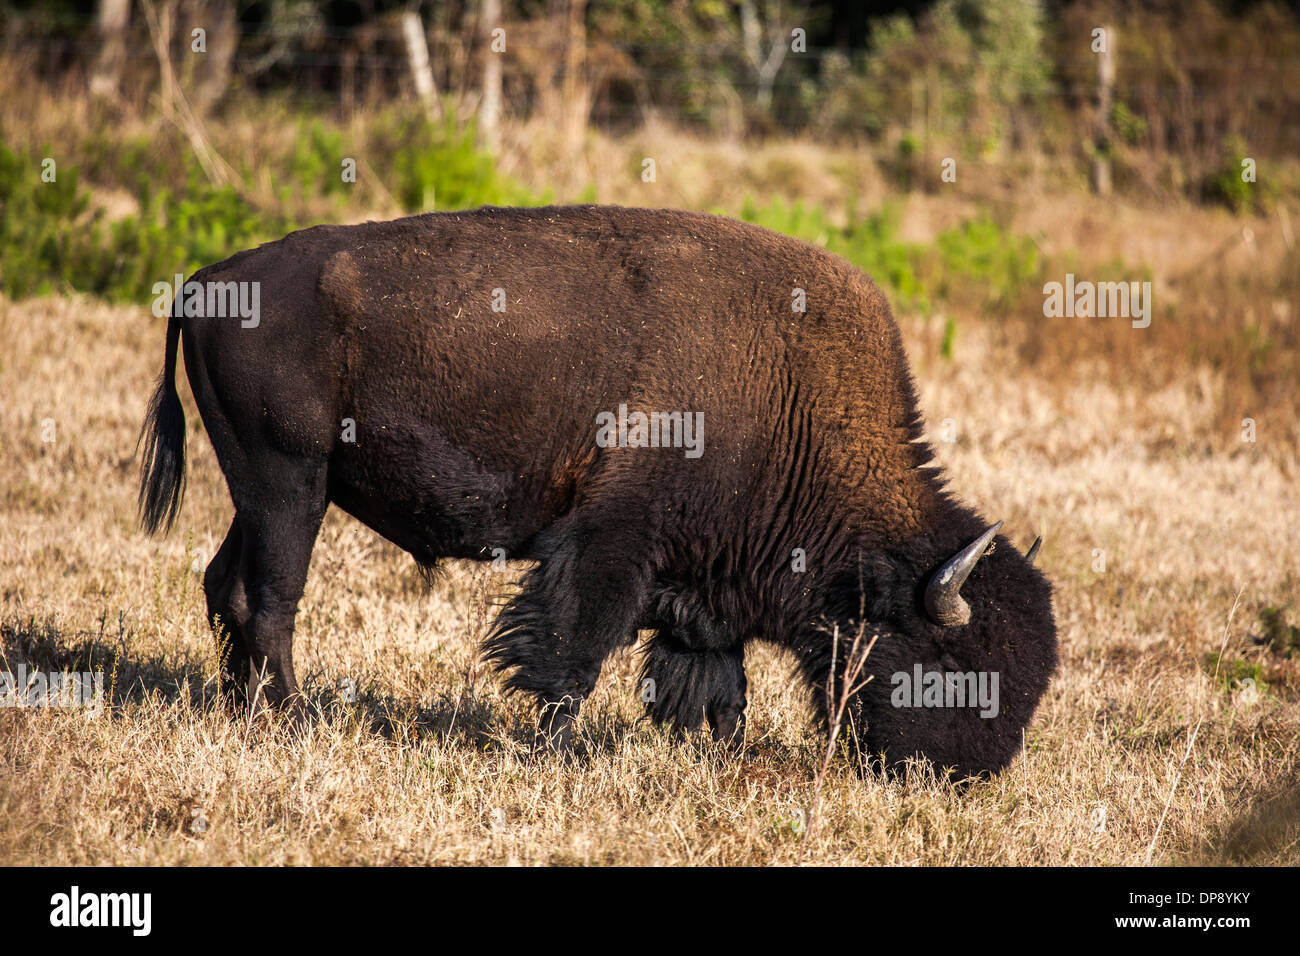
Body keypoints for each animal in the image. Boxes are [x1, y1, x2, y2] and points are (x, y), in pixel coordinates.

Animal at [138, 204, 1056, 778]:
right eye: (953, 661)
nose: (968, 776)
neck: (792, 397)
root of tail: (206, 281)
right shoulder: (611, 545)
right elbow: (572, 650)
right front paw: (557, 750)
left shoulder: (706, 587)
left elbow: (716, 684)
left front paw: (723, 756)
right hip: (289, 482)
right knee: (269, 599)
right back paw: (291, 722)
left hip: (267, 489)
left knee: (226, 585)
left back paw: (245, 712)